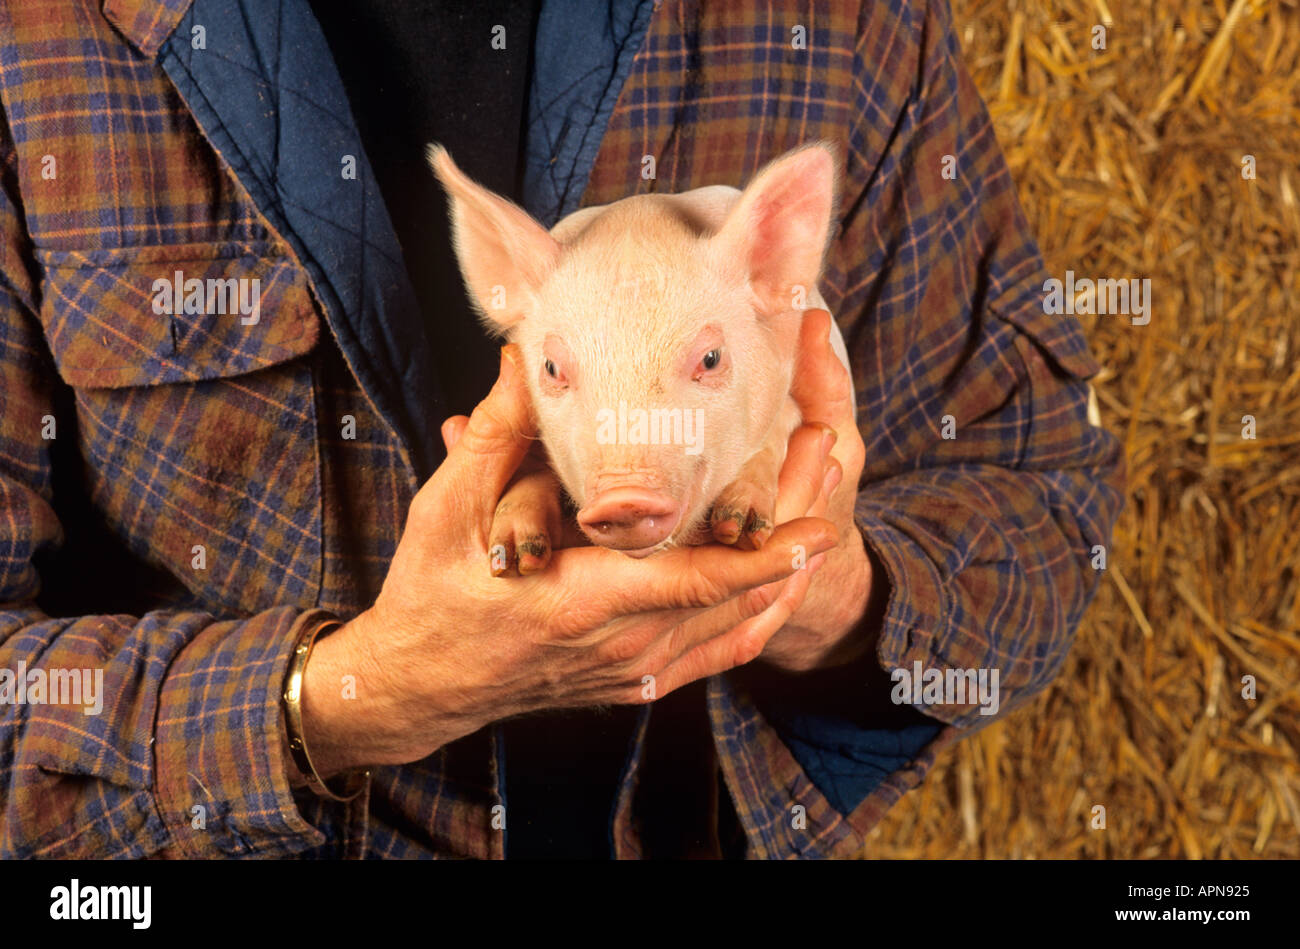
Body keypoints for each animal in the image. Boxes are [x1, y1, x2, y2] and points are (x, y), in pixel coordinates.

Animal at [428, 142, 853, 574]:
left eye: (711, 358)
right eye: (551, 368)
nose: (624, 498)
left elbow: (779, 432)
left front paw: (740, 529)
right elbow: (528, 471)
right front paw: (515, 561)